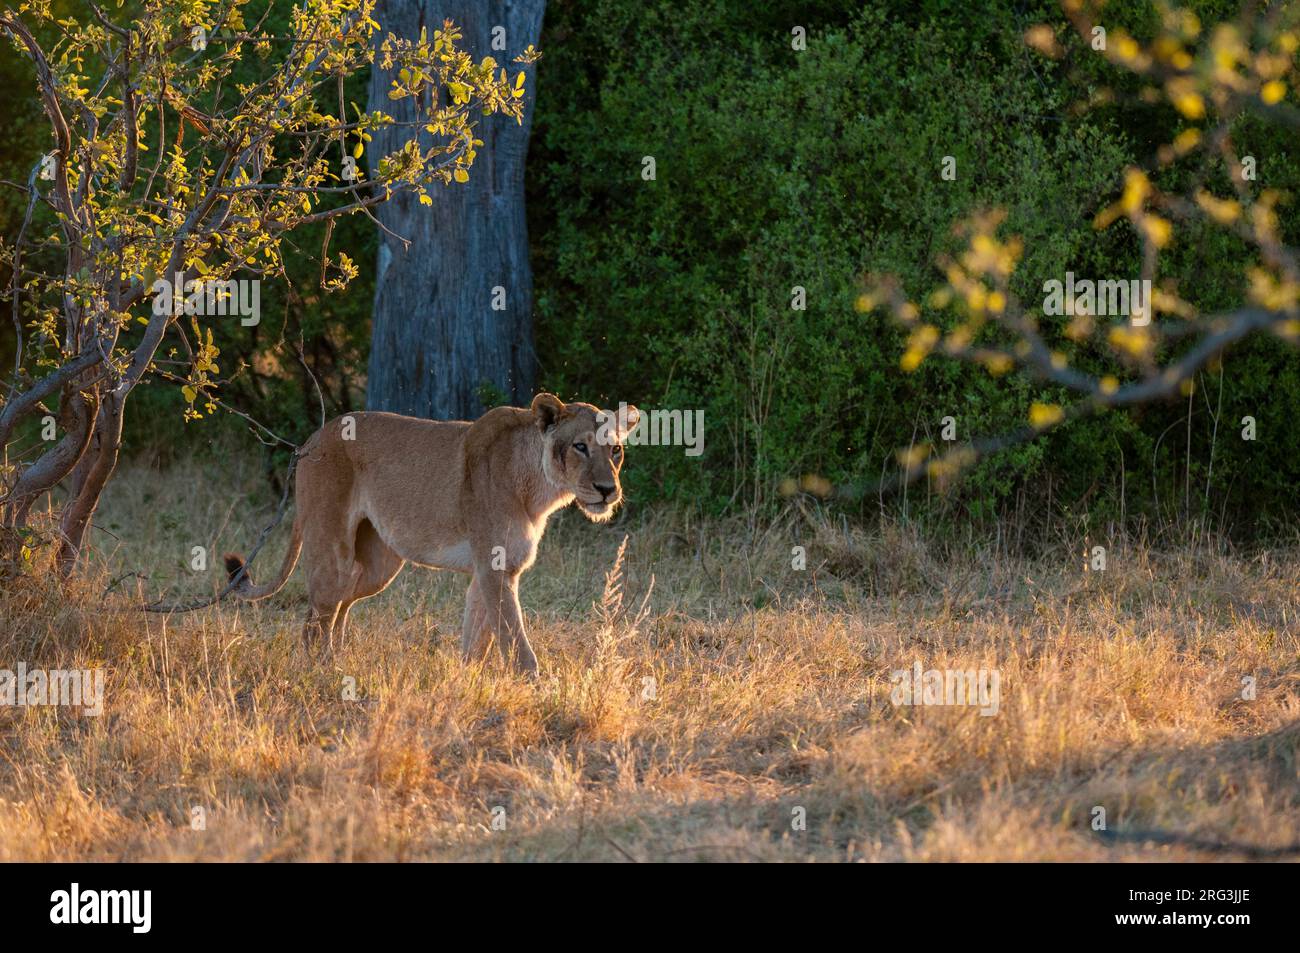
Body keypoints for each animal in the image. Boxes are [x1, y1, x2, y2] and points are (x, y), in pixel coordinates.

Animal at [224, 393, 640, 675]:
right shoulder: (494, 568)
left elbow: (477, 638)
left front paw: (468, 684)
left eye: (616, 450)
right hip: (332, 551)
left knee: (337, 609)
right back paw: (323, 672)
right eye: (580, 447)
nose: (607, 490)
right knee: (315, 619)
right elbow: (515, 640)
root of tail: (312, 439)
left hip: (377, 567)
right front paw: (537, 687)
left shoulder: (495, 570)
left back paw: (339, 663)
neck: (539, 490)